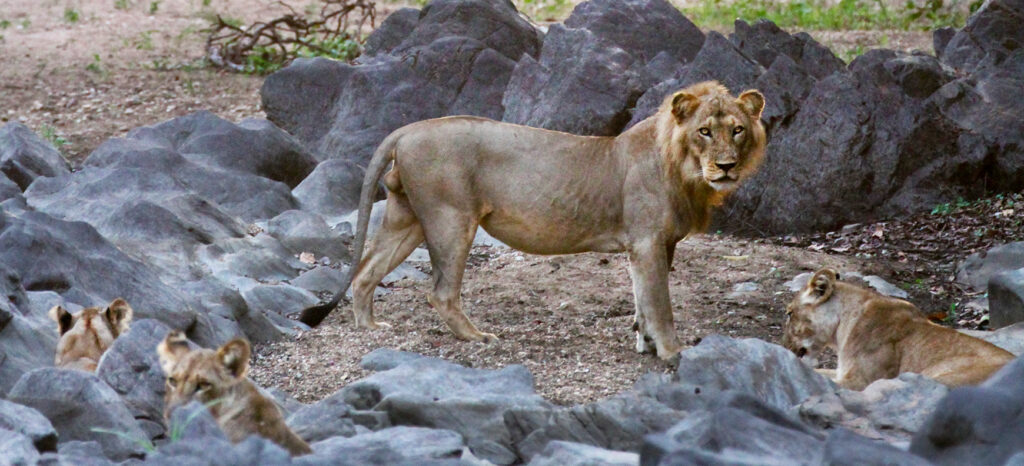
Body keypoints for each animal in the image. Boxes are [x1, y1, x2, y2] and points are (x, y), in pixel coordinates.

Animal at [299, 80, 767, 361]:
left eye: (738, 130)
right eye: (704, 131)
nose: (727, 166)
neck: (686, 173)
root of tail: (408, 129)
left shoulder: (653, 245)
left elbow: (640, 300)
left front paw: (645, 342)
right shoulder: (649, 241)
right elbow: (660, 303)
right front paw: (672, 352)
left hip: (407, 218)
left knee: (365, 272)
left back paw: (369, 327)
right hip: (451, 219)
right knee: (441, 292)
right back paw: (477, 338)